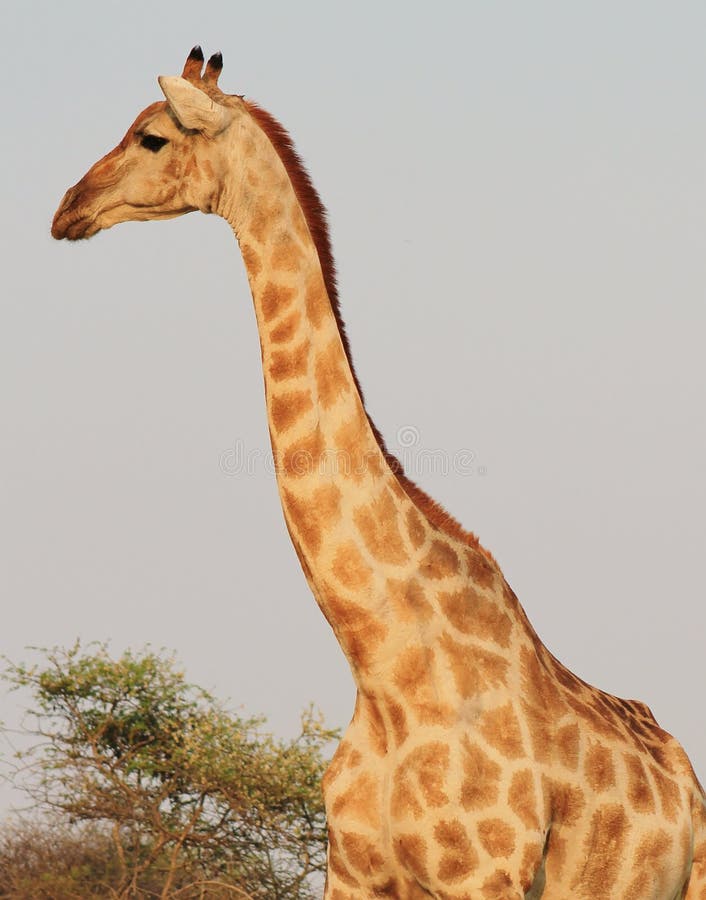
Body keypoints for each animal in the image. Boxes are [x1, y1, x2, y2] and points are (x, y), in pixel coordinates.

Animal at [52, 47, 706, 899]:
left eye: (151, 136)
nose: (68, 208)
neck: (385, 662)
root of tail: (689, 779)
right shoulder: (351, 872)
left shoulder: (485, 878)